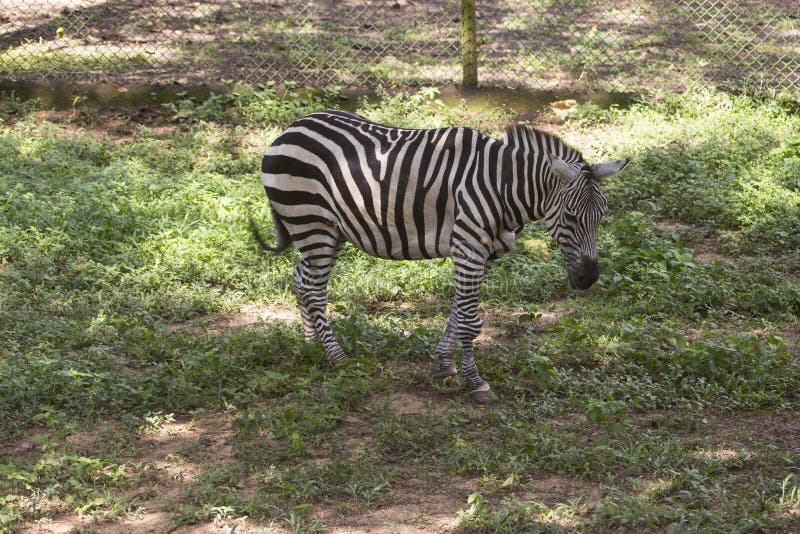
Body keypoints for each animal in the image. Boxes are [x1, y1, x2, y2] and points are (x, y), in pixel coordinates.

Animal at [254, 110, 630, 403]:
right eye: (571, 217)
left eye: (602, 216)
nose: (588, 278)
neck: (503, 188)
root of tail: (290, 128)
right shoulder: (469, 247)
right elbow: (470, 320)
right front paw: (476, 383)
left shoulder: (480, 254)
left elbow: (458, 312)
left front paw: (445, 366)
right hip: (311, 222)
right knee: (314, 289)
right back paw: (337, 357)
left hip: (327, 231)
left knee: (302, 279)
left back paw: (310, 344)